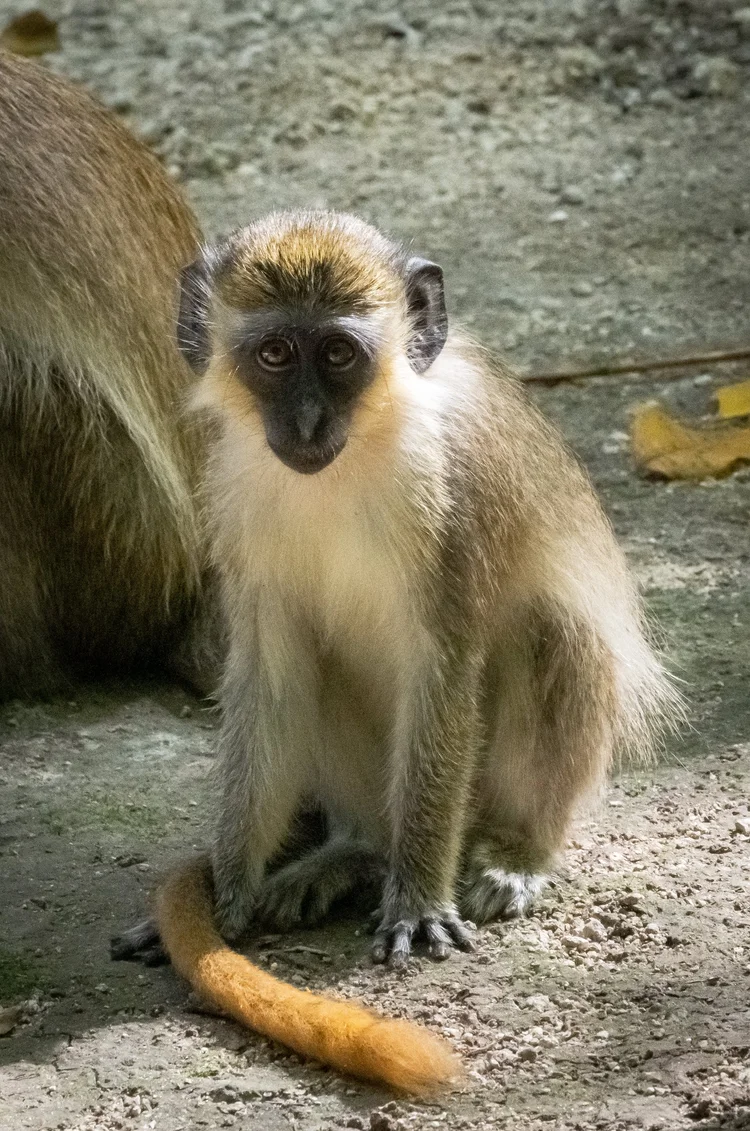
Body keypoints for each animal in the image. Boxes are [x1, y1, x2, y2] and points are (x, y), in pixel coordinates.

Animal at [113, 209, 679, 1088]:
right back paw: (350, 853)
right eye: (276, 355)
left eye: (340, 355)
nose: (307, 423)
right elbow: (270, 675)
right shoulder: (236, 491)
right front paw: (232, 891)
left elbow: (441, 670)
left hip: (497, 788)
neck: (364, 445)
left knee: (553, 633)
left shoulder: (455, 491)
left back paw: (518, 848)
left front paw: (417, 899)